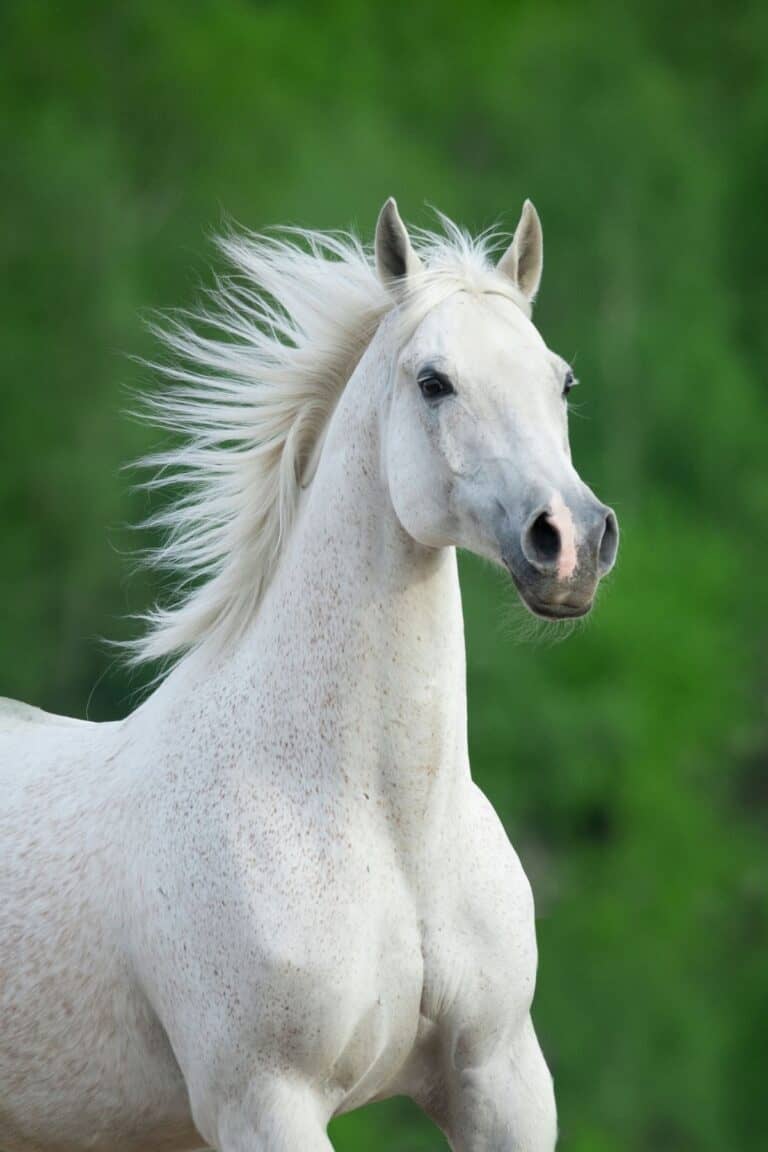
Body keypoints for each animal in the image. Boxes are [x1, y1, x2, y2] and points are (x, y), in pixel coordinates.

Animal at [0, 197, 618, 1152]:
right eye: (433, 382)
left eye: (562, 381)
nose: (572, 544)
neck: (385, 826)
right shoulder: (266, 1099)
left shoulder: (503, 1081)